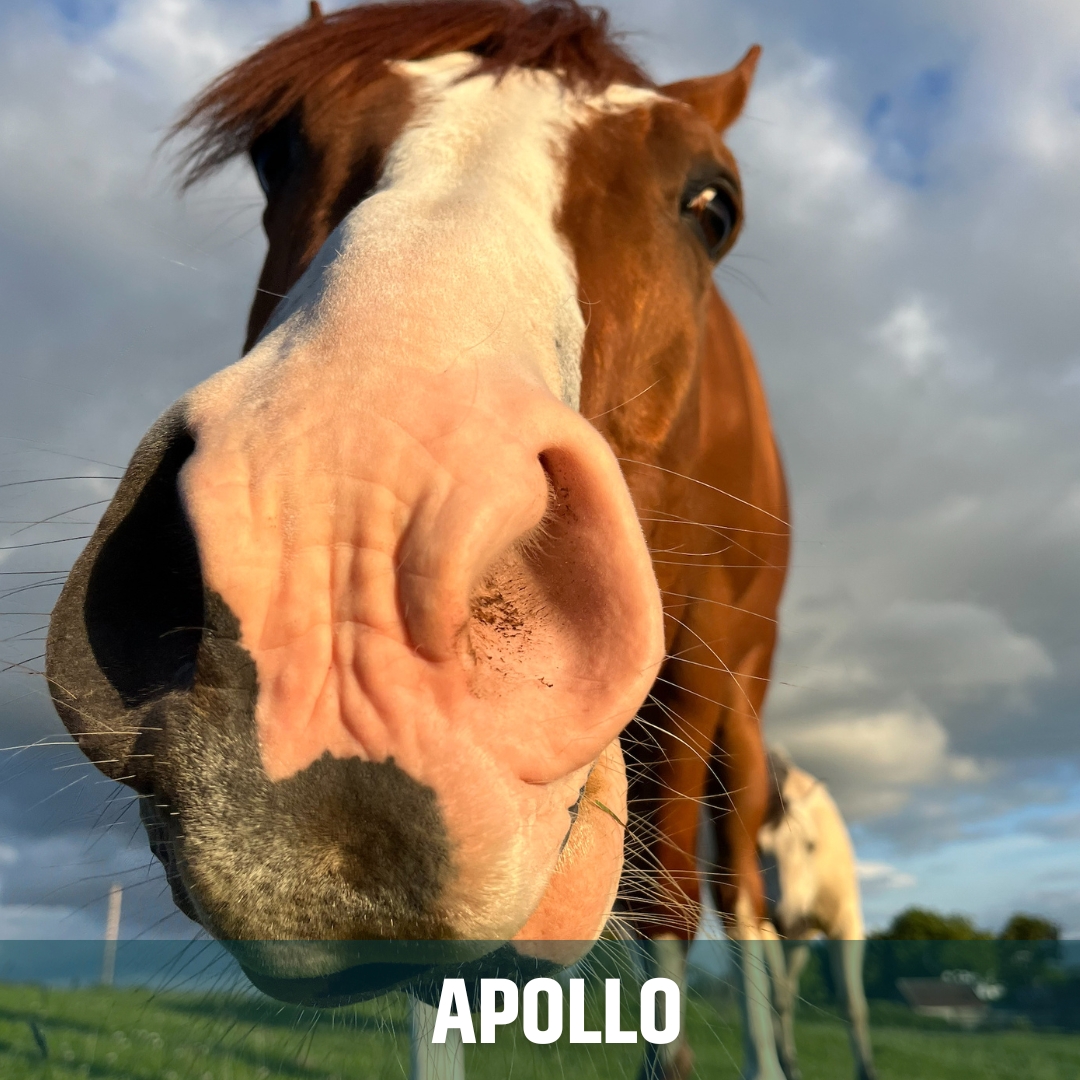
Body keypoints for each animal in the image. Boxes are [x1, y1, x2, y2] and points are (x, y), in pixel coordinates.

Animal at [44, 0, 790, 1073]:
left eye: (713, 205)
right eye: (277, 152)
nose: (337, 555)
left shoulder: (702, 660)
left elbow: (677, 909)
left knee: (736, 893)